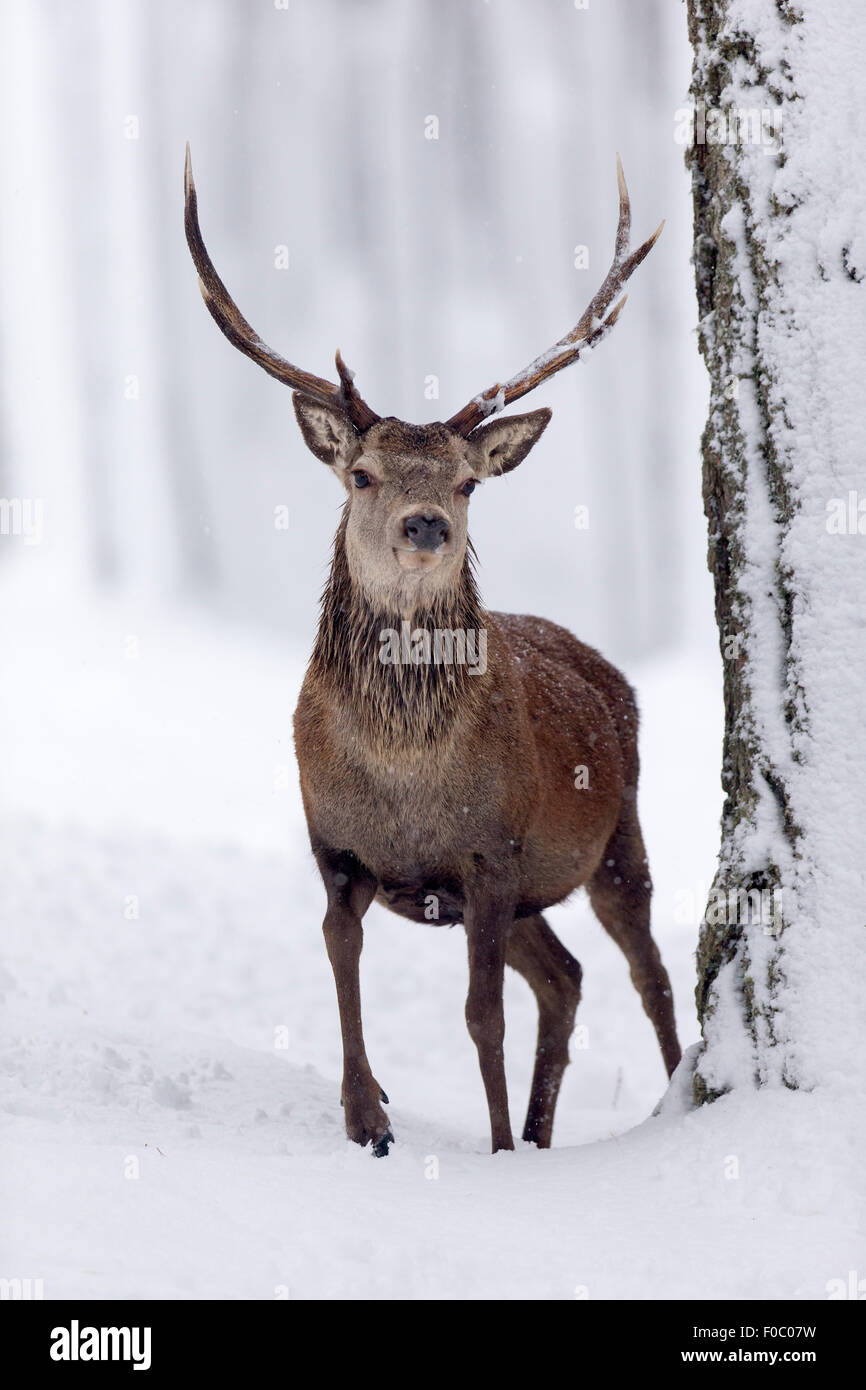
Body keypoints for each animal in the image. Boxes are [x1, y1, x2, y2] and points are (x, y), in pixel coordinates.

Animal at [184, 144, 682, 1155]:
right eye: (362, 473)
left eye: (465, 481)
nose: (425, 524)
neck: (407, 781)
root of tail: (610, 674)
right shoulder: (337, 848)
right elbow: (339, 963)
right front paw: (366, 1115)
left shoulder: (491, 853)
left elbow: (481, 1016)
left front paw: (492, 1150)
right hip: (533, 891)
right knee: (566, 977)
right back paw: (541, 1131)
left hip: (616, 835)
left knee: (646, 975)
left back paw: (662, 1103)